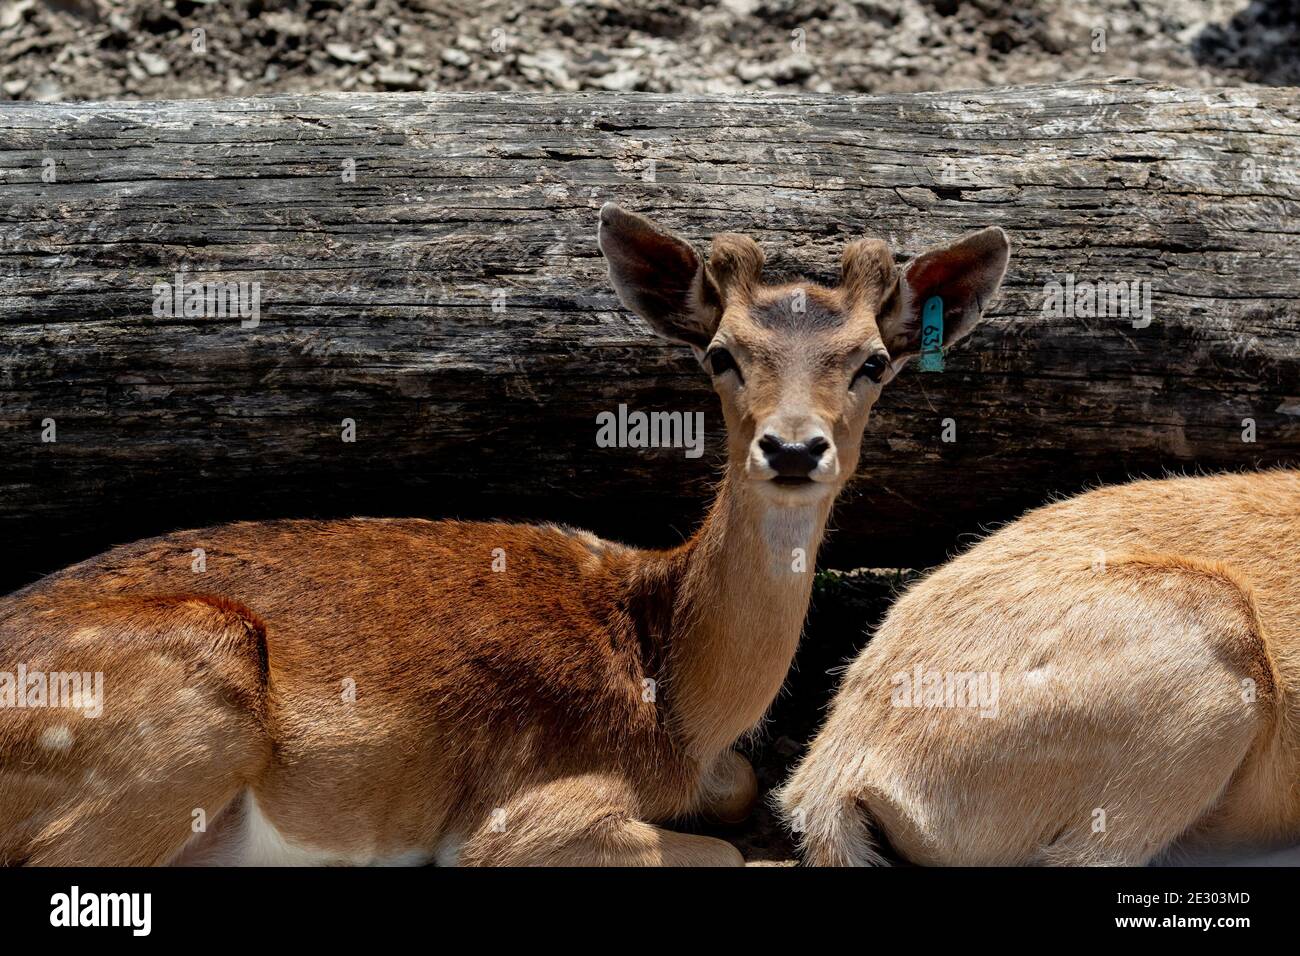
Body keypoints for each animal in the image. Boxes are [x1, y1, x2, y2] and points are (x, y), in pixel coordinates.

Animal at [0, 204, 1010, 866]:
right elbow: (712, 853)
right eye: (721, 353)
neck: (673, 703)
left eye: (872, 362)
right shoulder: (517, 816)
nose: (793, 448)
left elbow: (741, 785)